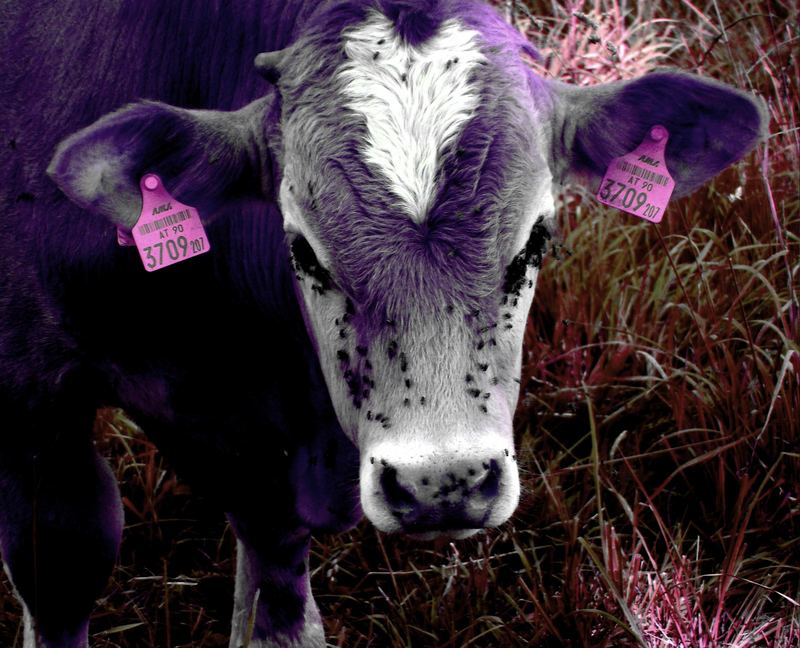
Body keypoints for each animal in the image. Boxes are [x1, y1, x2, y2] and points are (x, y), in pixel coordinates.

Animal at [0, 0, 766, 646]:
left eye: (536, 242)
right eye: (302, 250)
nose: (442, 484)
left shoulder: (270, 479)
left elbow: (277, 599)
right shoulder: (36, 410)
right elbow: (63, 569)